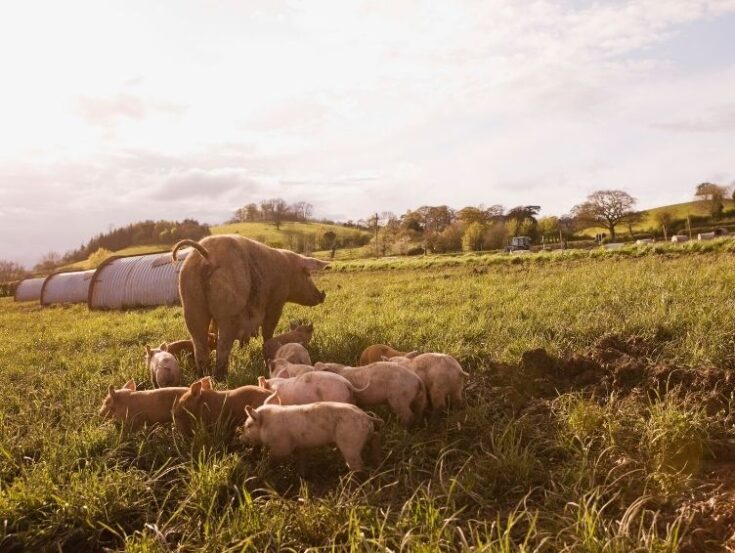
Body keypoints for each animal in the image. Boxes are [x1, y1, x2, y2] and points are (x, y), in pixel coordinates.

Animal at [237, 402, 382, 471]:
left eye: (249, 426)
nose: (240, 439)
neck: (266, 424)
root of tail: (365, 416)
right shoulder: (301, 447)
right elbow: (302, 461)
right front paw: (303, 476)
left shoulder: (281, 446)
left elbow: (273, 460)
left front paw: (264, 469)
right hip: (364, 435)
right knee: (375, 437)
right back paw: (376, 460)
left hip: (350, 440)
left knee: (357, 464)